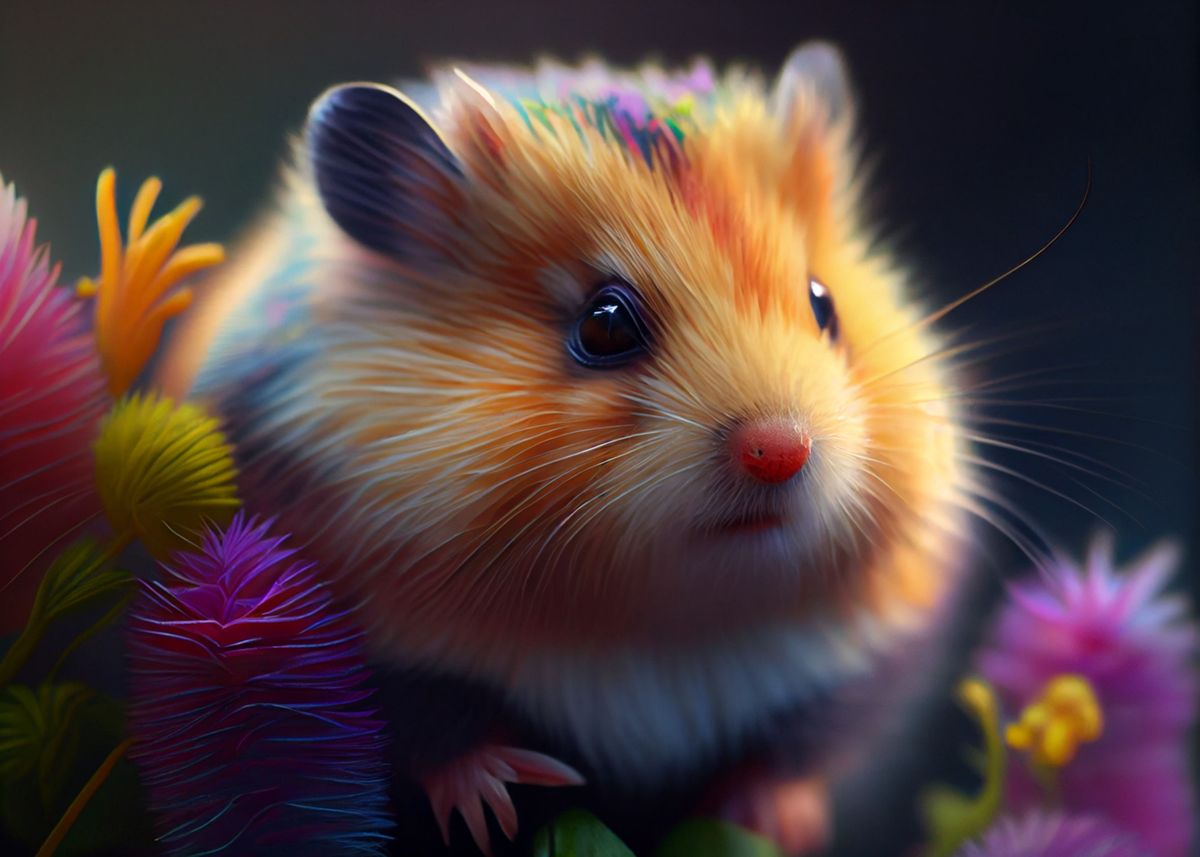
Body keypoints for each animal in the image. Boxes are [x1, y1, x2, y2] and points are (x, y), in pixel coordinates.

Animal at [161, 42, 971, 855]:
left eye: (823, 302)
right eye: (604, 323)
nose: (782, 450)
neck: (658, 625)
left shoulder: (851, 659)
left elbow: (792, 755)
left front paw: (779, 820)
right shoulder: (363, 650)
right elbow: (435, 733)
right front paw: (502, 800)